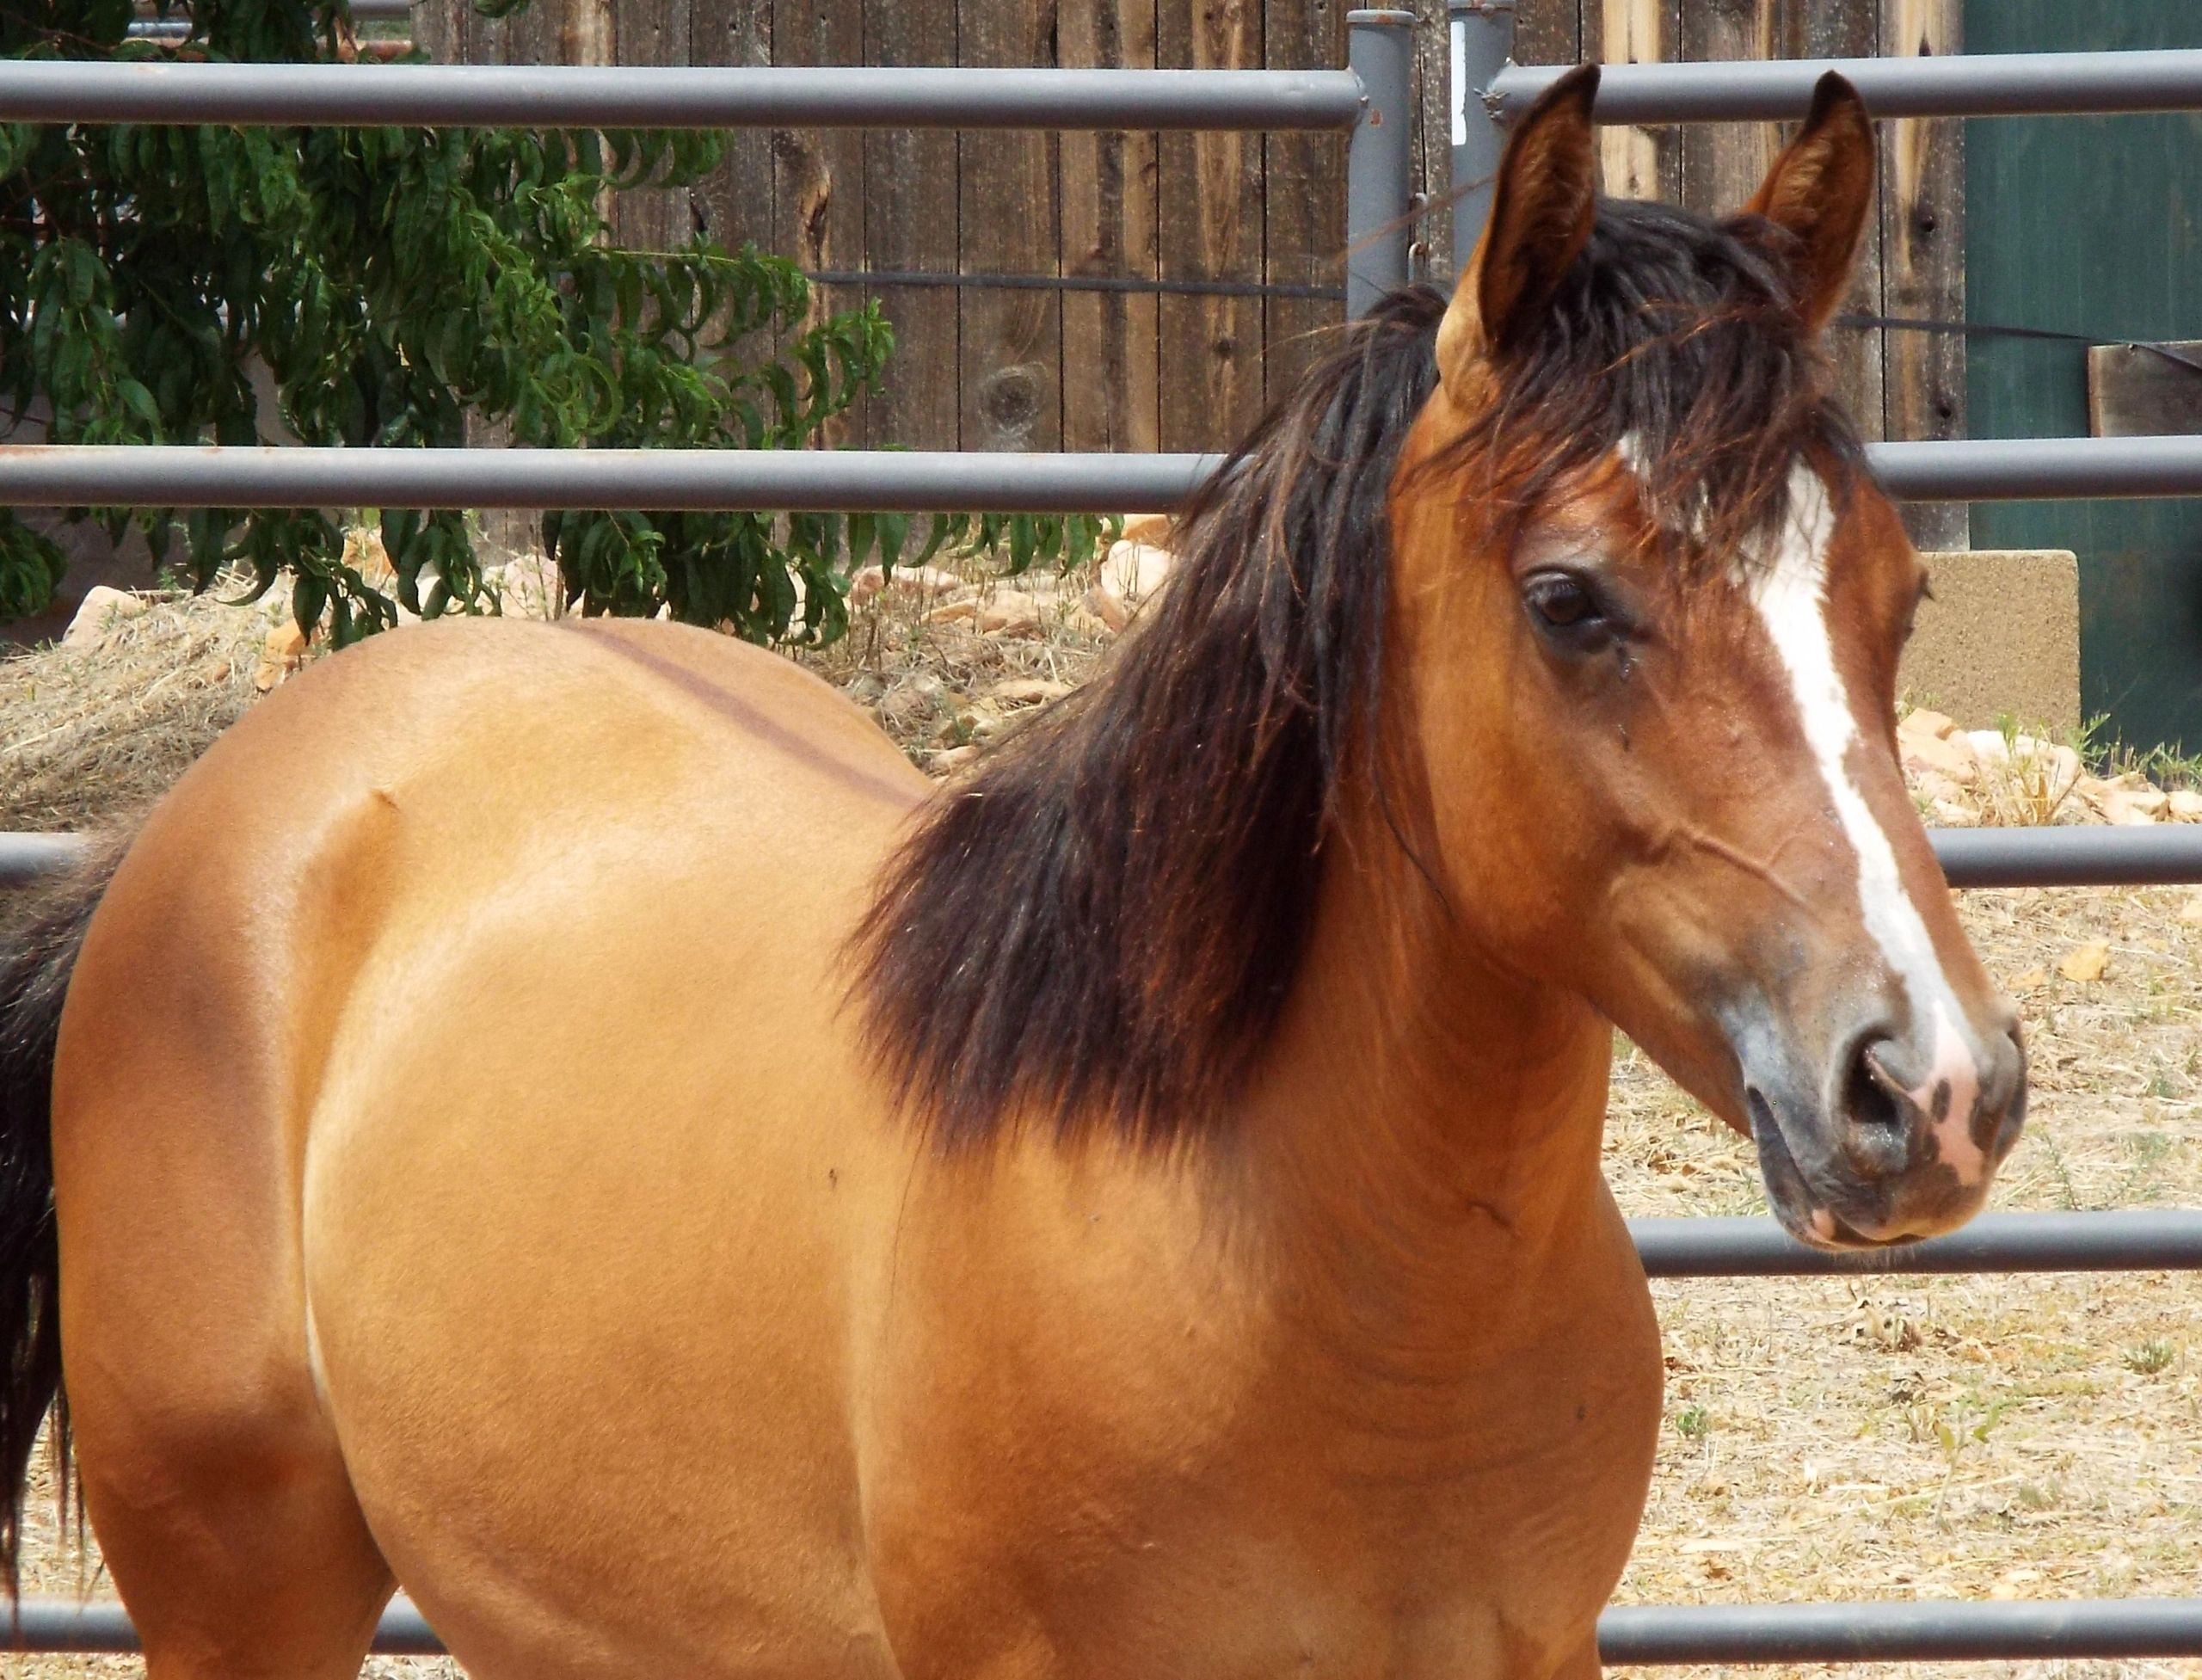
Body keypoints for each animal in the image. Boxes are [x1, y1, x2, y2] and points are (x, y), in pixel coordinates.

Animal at [0, 65, 2024, 1678]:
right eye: (1567, 599)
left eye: (1896, 593)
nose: (1927, 1084)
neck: (1270, 1255)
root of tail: (207, 815)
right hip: (244, 1593)